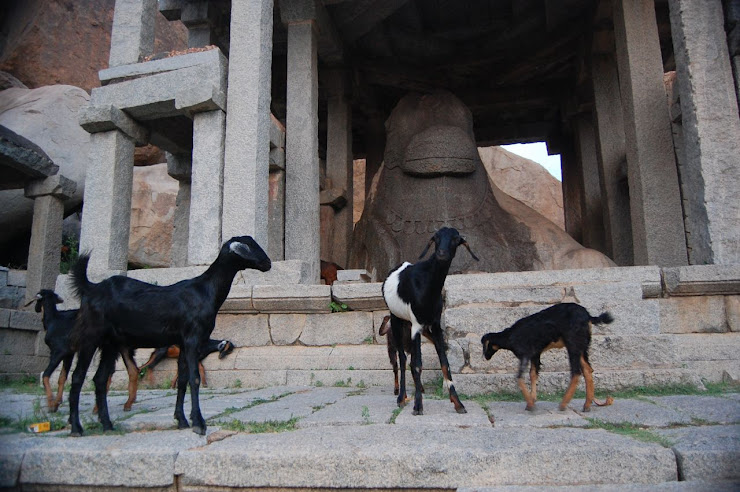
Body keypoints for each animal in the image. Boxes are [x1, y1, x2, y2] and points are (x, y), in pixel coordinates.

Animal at [68, 235, 271, 436]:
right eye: (250, 246)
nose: (268, 263)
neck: (205, 291)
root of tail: (91, 288)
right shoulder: (192, 339)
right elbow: (194, 378)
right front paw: (199, 423)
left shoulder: (183, 343)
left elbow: (182, 380)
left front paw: (182, 420)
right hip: (90, 336)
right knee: (77, 377)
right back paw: (77, 428)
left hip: (111, 343)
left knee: (100, 379)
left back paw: (107, 424)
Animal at [381, 227, 478, 415]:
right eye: (436, 237)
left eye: (456, 239)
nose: (441, 253)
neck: (426, 283)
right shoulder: (416, 326)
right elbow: (417, 364)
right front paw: (418, 406)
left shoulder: (434, 325)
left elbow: (445, 362)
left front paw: (458, 403)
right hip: (397, 321)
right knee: (402, 359)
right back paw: (401, 397)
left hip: (416, 327)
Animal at [481, 303, 615, 412]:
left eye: (485, 345)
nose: (485, 357)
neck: (509, 336)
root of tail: (588, 316)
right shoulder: (535, 354)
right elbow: (533, 374)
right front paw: (532, 400)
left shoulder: (525, 354)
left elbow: (519, 376)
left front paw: (530, 403)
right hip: (581, 346)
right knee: (587, 370)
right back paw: (587, 405)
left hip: (573, 344)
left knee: (576, 372)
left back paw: (563, 404)